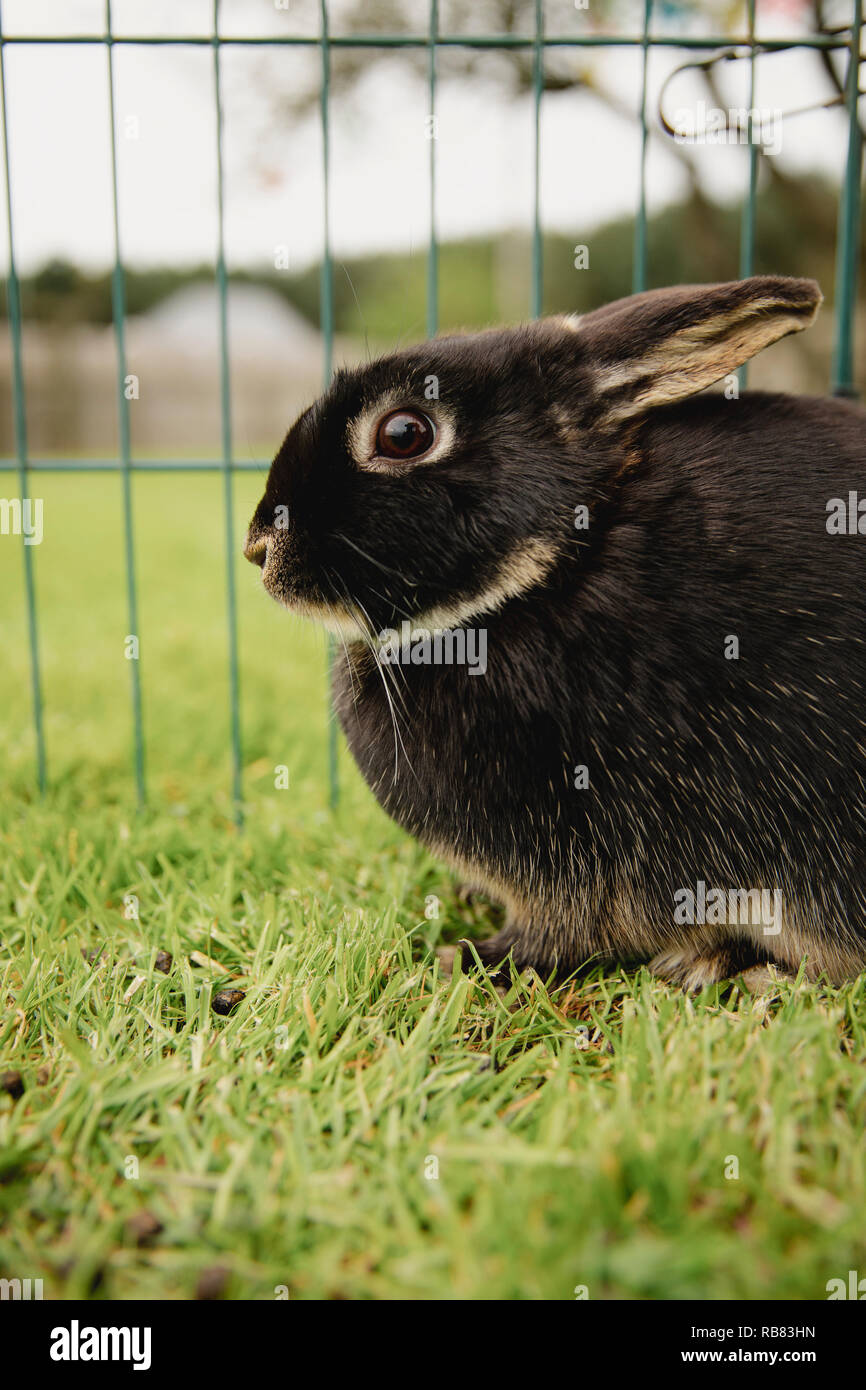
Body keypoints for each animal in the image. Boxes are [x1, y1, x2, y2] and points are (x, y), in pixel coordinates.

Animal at [244, 275, 866, 990]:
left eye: (404, 433)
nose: (258, 549)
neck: (556, 565)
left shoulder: (579, 853)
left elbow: (559, 933)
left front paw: (464, 957)